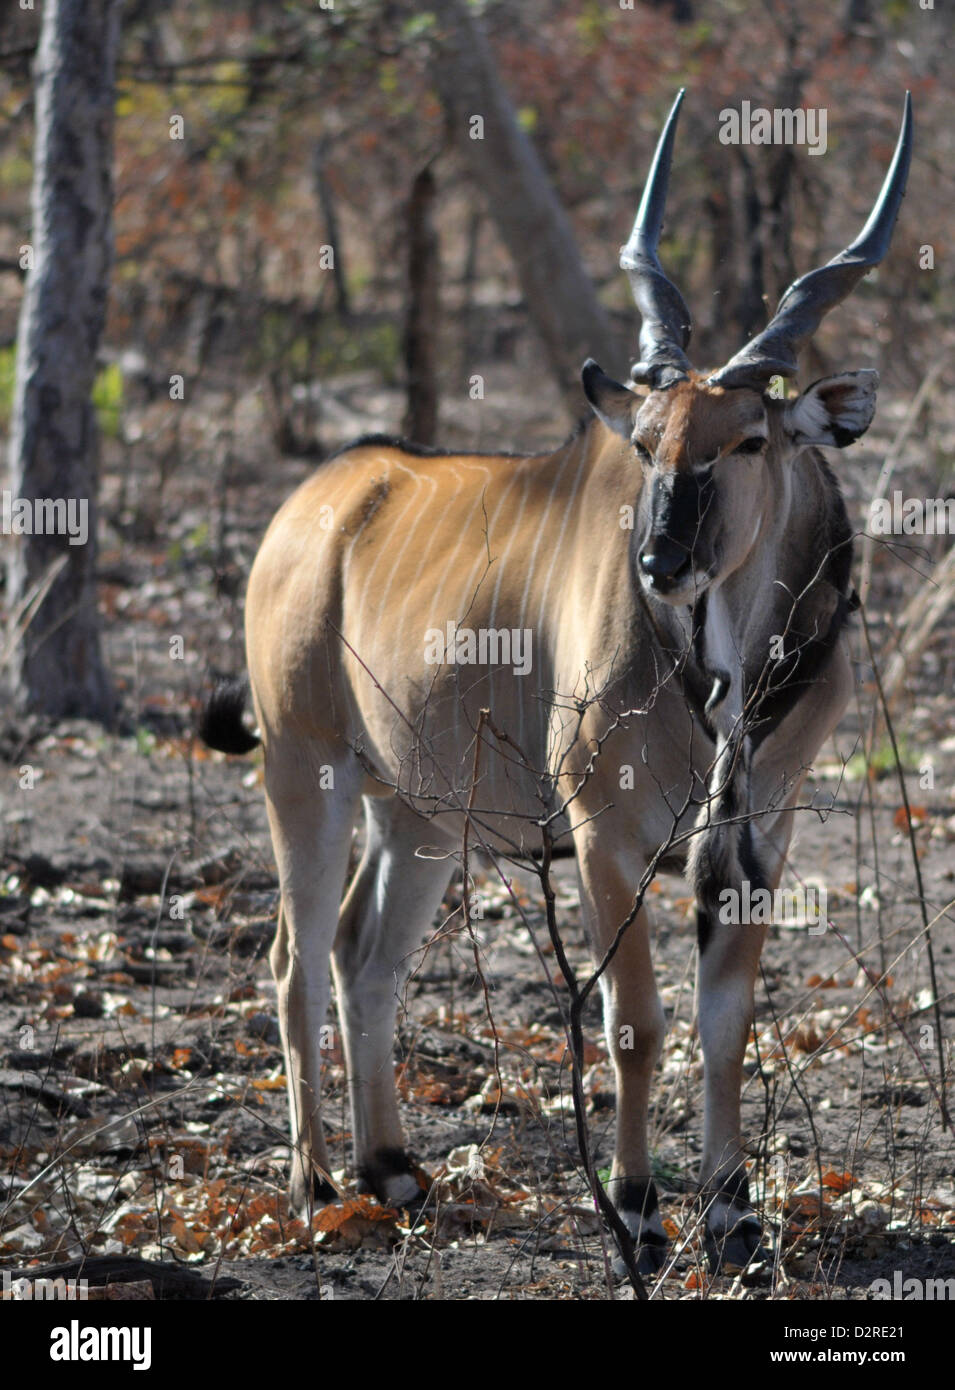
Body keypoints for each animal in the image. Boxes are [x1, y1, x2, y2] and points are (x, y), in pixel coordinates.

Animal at [201, 91, 912, 1273]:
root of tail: (321, 498)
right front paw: (637, 1212)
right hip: (306, 771)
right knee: (292, 954)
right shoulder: (601, 832)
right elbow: (635, 1023)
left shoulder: (754, 838)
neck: (718, 678)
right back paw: (312, 1185)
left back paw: (391, 1170)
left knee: (361, 951)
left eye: (748, 438)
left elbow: (727, 1023)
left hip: (416, 814)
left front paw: (735, 1215)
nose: (660, 559)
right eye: (644, 440)